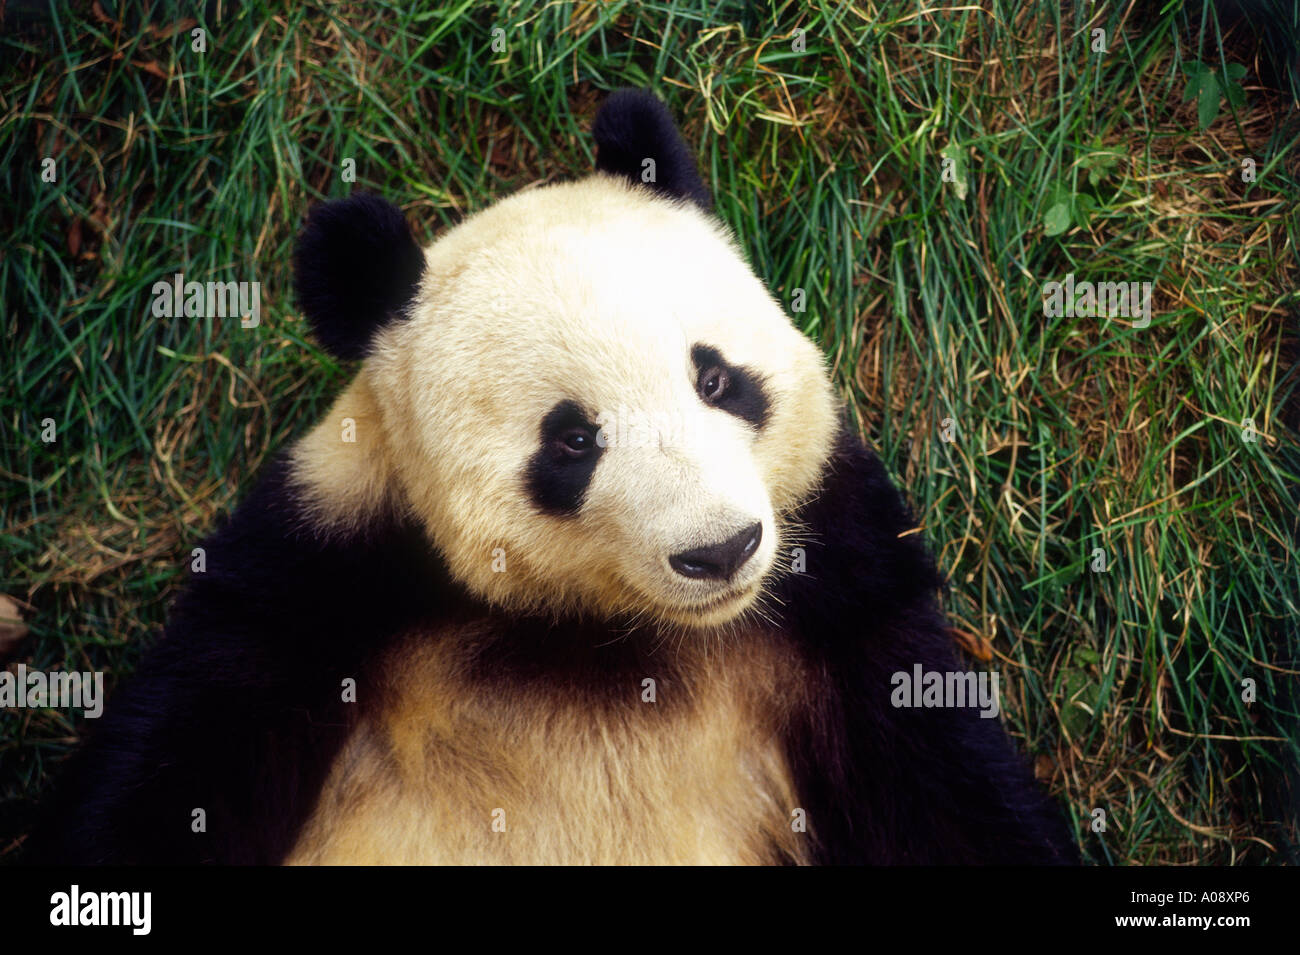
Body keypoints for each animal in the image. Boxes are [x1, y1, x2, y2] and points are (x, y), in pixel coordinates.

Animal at [29, 89, 1077, 865]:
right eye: (572, 441)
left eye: (714, 378)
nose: (722, 550)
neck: (599, 639)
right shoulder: (323, 572)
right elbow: (171, 777)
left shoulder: (840, 593)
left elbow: (946, 790)